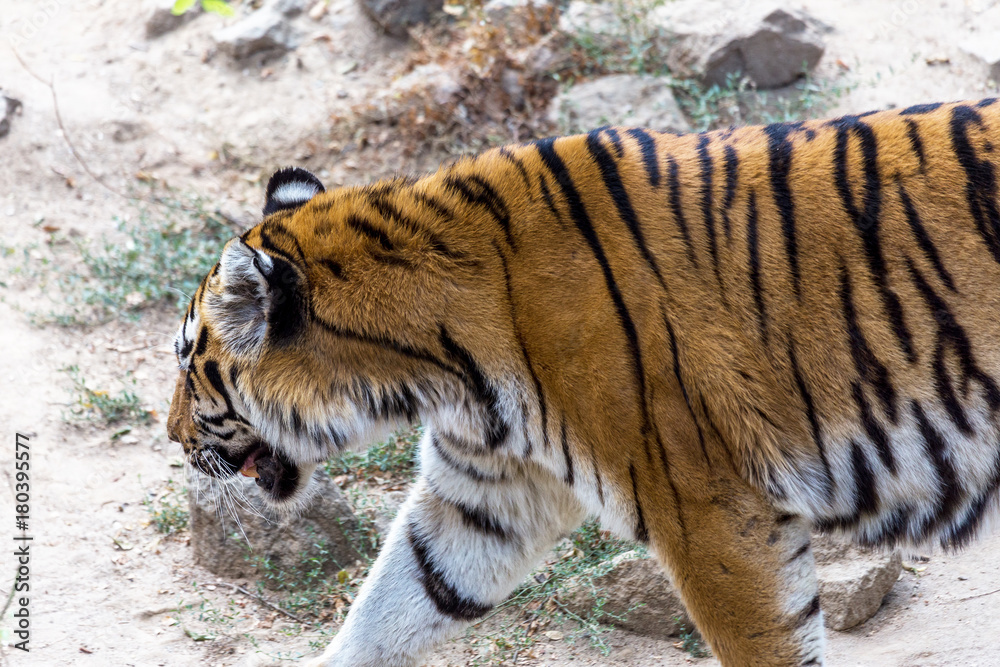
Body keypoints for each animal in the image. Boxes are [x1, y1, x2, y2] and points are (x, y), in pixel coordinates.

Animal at [167, 98, 1000, 666]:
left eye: (185, 363)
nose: (172, 439)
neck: (439, 368)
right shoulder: (483, 497)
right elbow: (394, 602)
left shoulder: (711, 515)